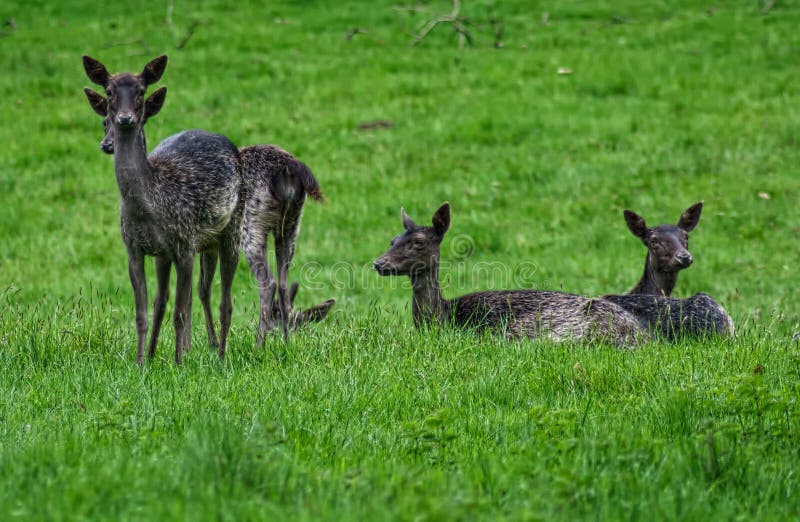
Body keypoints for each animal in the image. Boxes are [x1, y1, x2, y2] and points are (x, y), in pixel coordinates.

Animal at [82, 54, 243, 365]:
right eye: (109, 91)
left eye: (141, 91)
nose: (125, 119)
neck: (149, 207)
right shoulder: (135, 249)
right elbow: (144, 312)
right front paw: (141, 361)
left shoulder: (184, 244)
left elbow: (179, 313)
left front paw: (179, 363)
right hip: (181, 250)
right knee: (179, 296)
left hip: (232, 230)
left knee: (224, 300)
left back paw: (219, 355)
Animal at [93, 109, 332, 342]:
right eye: (105, 123)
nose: (107, 144)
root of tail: (290, 169)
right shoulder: (203, 245)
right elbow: (198, 289)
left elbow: (195, 290)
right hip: (292, 222)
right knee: (283, 280)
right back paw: (285, 343)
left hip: (250, 226)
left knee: (268, 282)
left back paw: (259, 343)